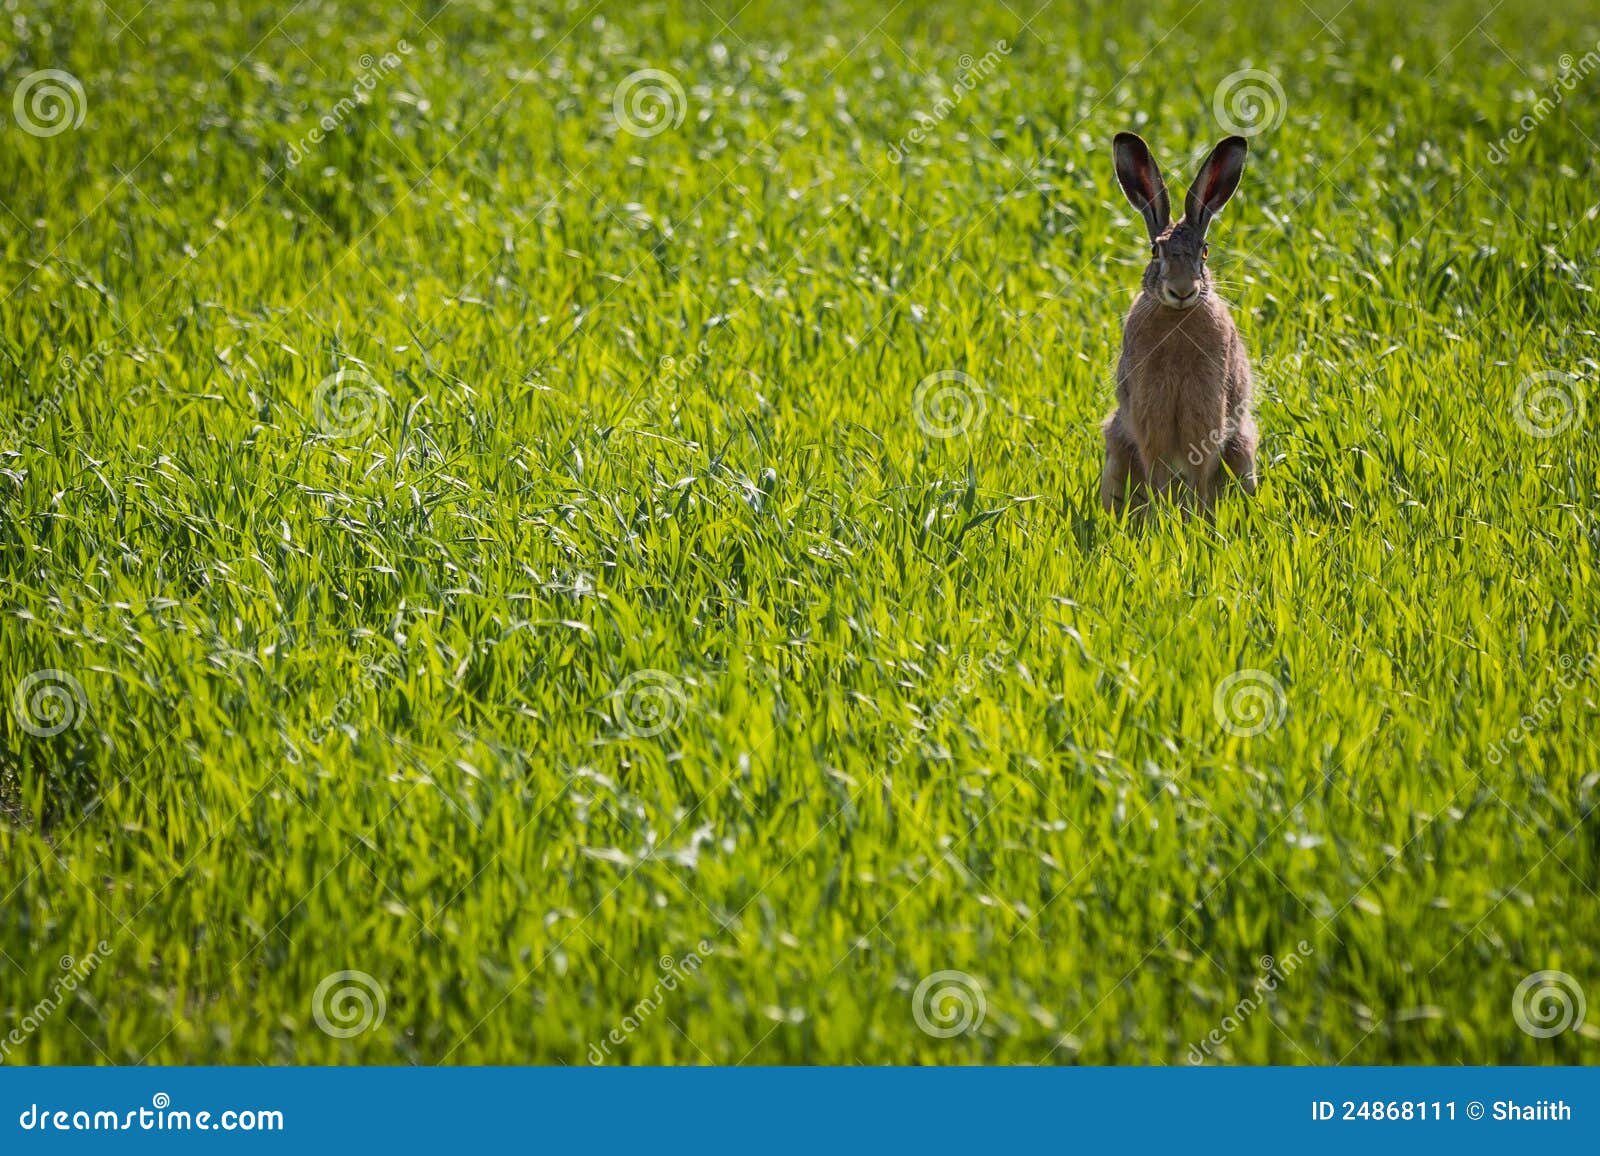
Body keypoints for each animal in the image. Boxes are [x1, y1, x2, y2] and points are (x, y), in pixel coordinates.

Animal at [1101, 132, 1257, 514]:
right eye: (1155, 252)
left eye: (1204, 251)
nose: (1183, 290)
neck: (1177, 319)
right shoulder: (1149, 414)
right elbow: (1157, 472)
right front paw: (1163, 522)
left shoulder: (1206, 411)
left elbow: (1199, 473)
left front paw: (1197, 522)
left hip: (1242, 447)